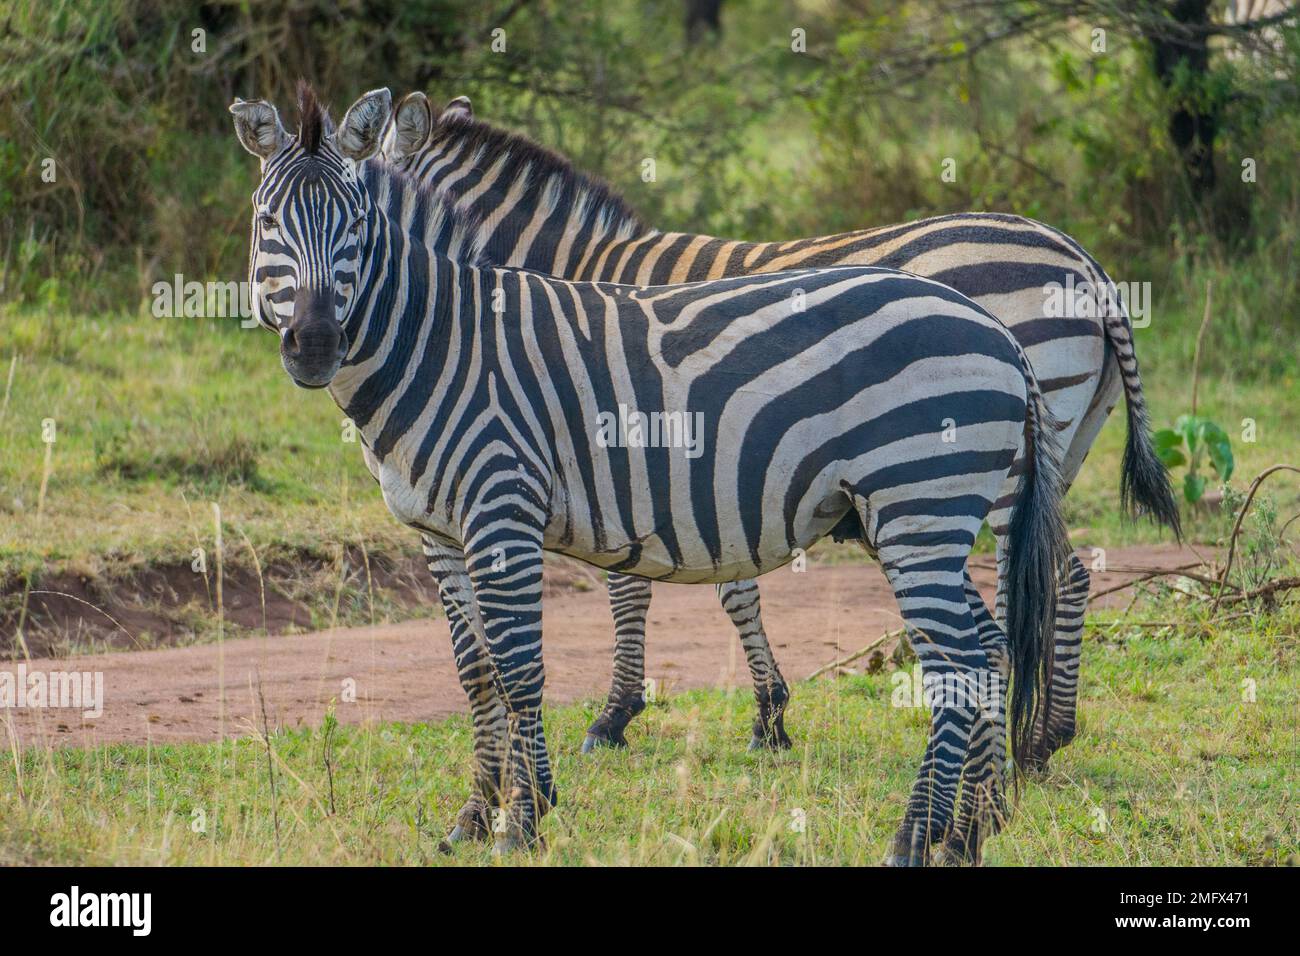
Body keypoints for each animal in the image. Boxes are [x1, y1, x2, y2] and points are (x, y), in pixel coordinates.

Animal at [231, 84, 1070, 863]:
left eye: (356, 226)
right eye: (267, 223)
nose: (314, 343)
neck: (442, 339)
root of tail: (993, 327)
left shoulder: (504, 509)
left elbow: (522, 668)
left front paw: (525, 821)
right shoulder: (438, 533)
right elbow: (476, 673)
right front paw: (473, 817)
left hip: (917, 502)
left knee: (960, 662)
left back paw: (915, 838)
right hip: (917, 515)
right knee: (987, 646)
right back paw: (970, 831)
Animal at [380, 90, 1182, 766]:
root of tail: (1082, 260)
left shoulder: (633, 445)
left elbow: (635, 586)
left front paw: (616, 717)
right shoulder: (697, 462)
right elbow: (728, 584)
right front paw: (768, 715)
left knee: (1040, 578)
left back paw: (1025, 740)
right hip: (1056, 451)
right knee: (1064, 575)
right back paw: (1042, 734)